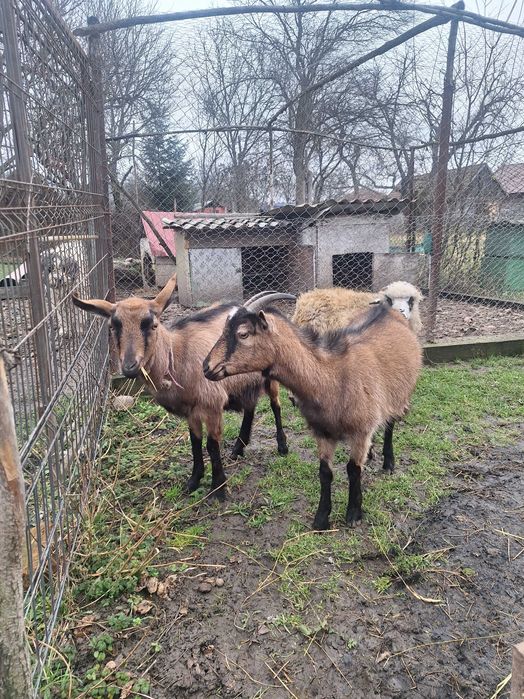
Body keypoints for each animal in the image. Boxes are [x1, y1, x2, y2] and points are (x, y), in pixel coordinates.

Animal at [72, 275, 294, 500]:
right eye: (113, 326)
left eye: (152, 325)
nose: (129, 366)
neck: (178, 355)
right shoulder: (191, 411)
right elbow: (195, 443)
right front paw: (193, 481)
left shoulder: (212, 405)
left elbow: (211, 445)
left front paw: (219, 488)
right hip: (245, 383)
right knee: (250, 407)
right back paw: (238, 449)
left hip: (270, 379)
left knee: (275, 406)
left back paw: (282, 446)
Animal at [203, 295, 422, 530]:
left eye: (243, 334)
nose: (206, 367)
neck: (332, 376)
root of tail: (388, 311)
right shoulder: (322, 431)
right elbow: (325, 472)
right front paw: (321, 519)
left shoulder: (360, 431)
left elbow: (353, 469)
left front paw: (354, 514)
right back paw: (371, 453)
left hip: (400, 395)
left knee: (390, 424)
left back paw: (388, 463)